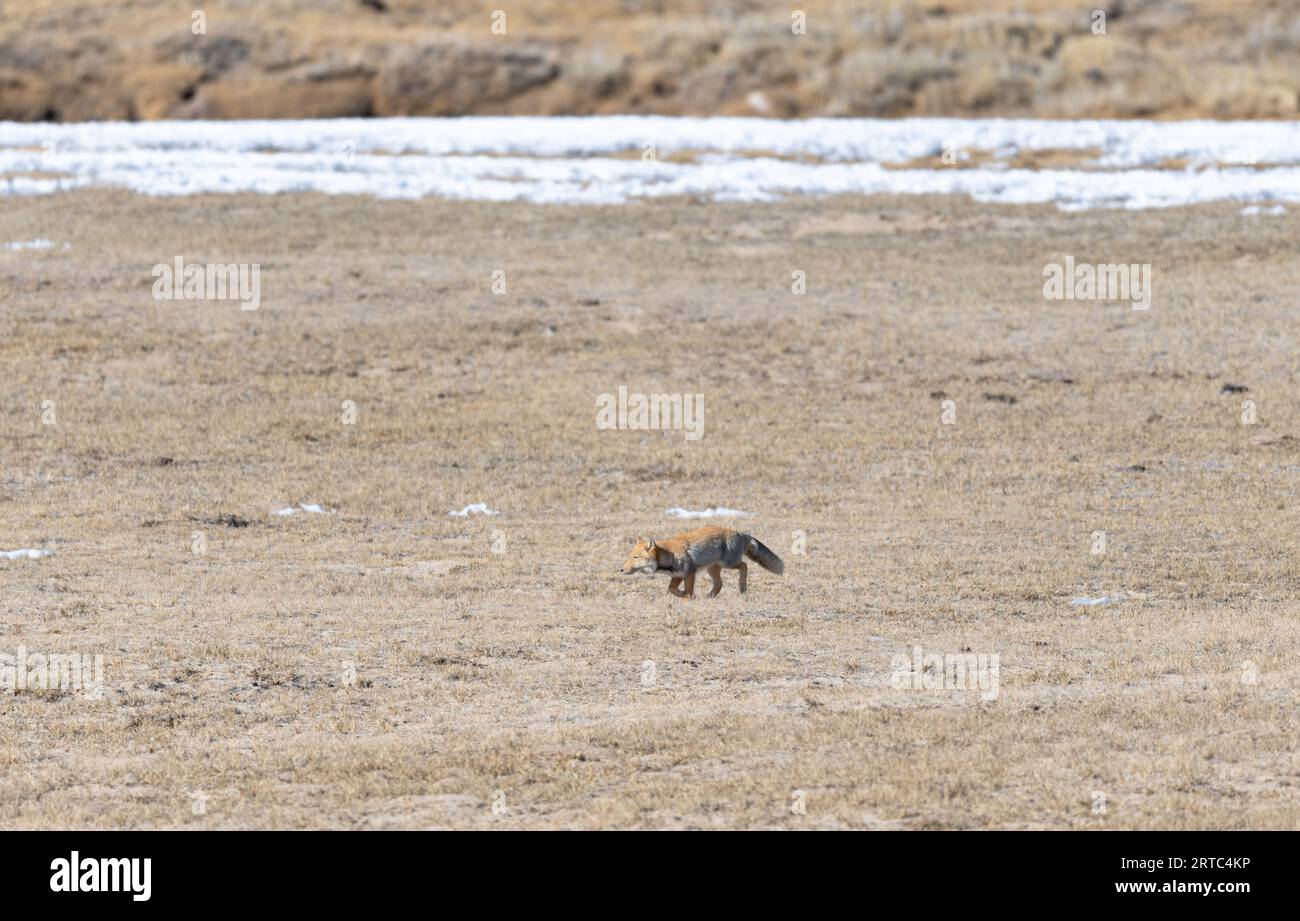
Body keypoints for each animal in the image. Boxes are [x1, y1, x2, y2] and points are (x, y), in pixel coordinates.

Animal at [622, 526, 784, 598]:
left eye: (635, 557)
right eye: (629, 557)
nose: (621, 570)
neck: (670, 555)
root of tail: (740, 533)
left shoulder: (690, 573)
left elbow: (688, 591)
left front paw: (688, 598)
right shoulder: (678, 575)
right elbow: (671, 589)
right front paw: (683, 595)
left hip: (728, 563)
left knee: (744, 566)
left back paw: (742, 588)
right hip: (712, 569)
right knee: (719, 584)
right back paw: (710, 597)